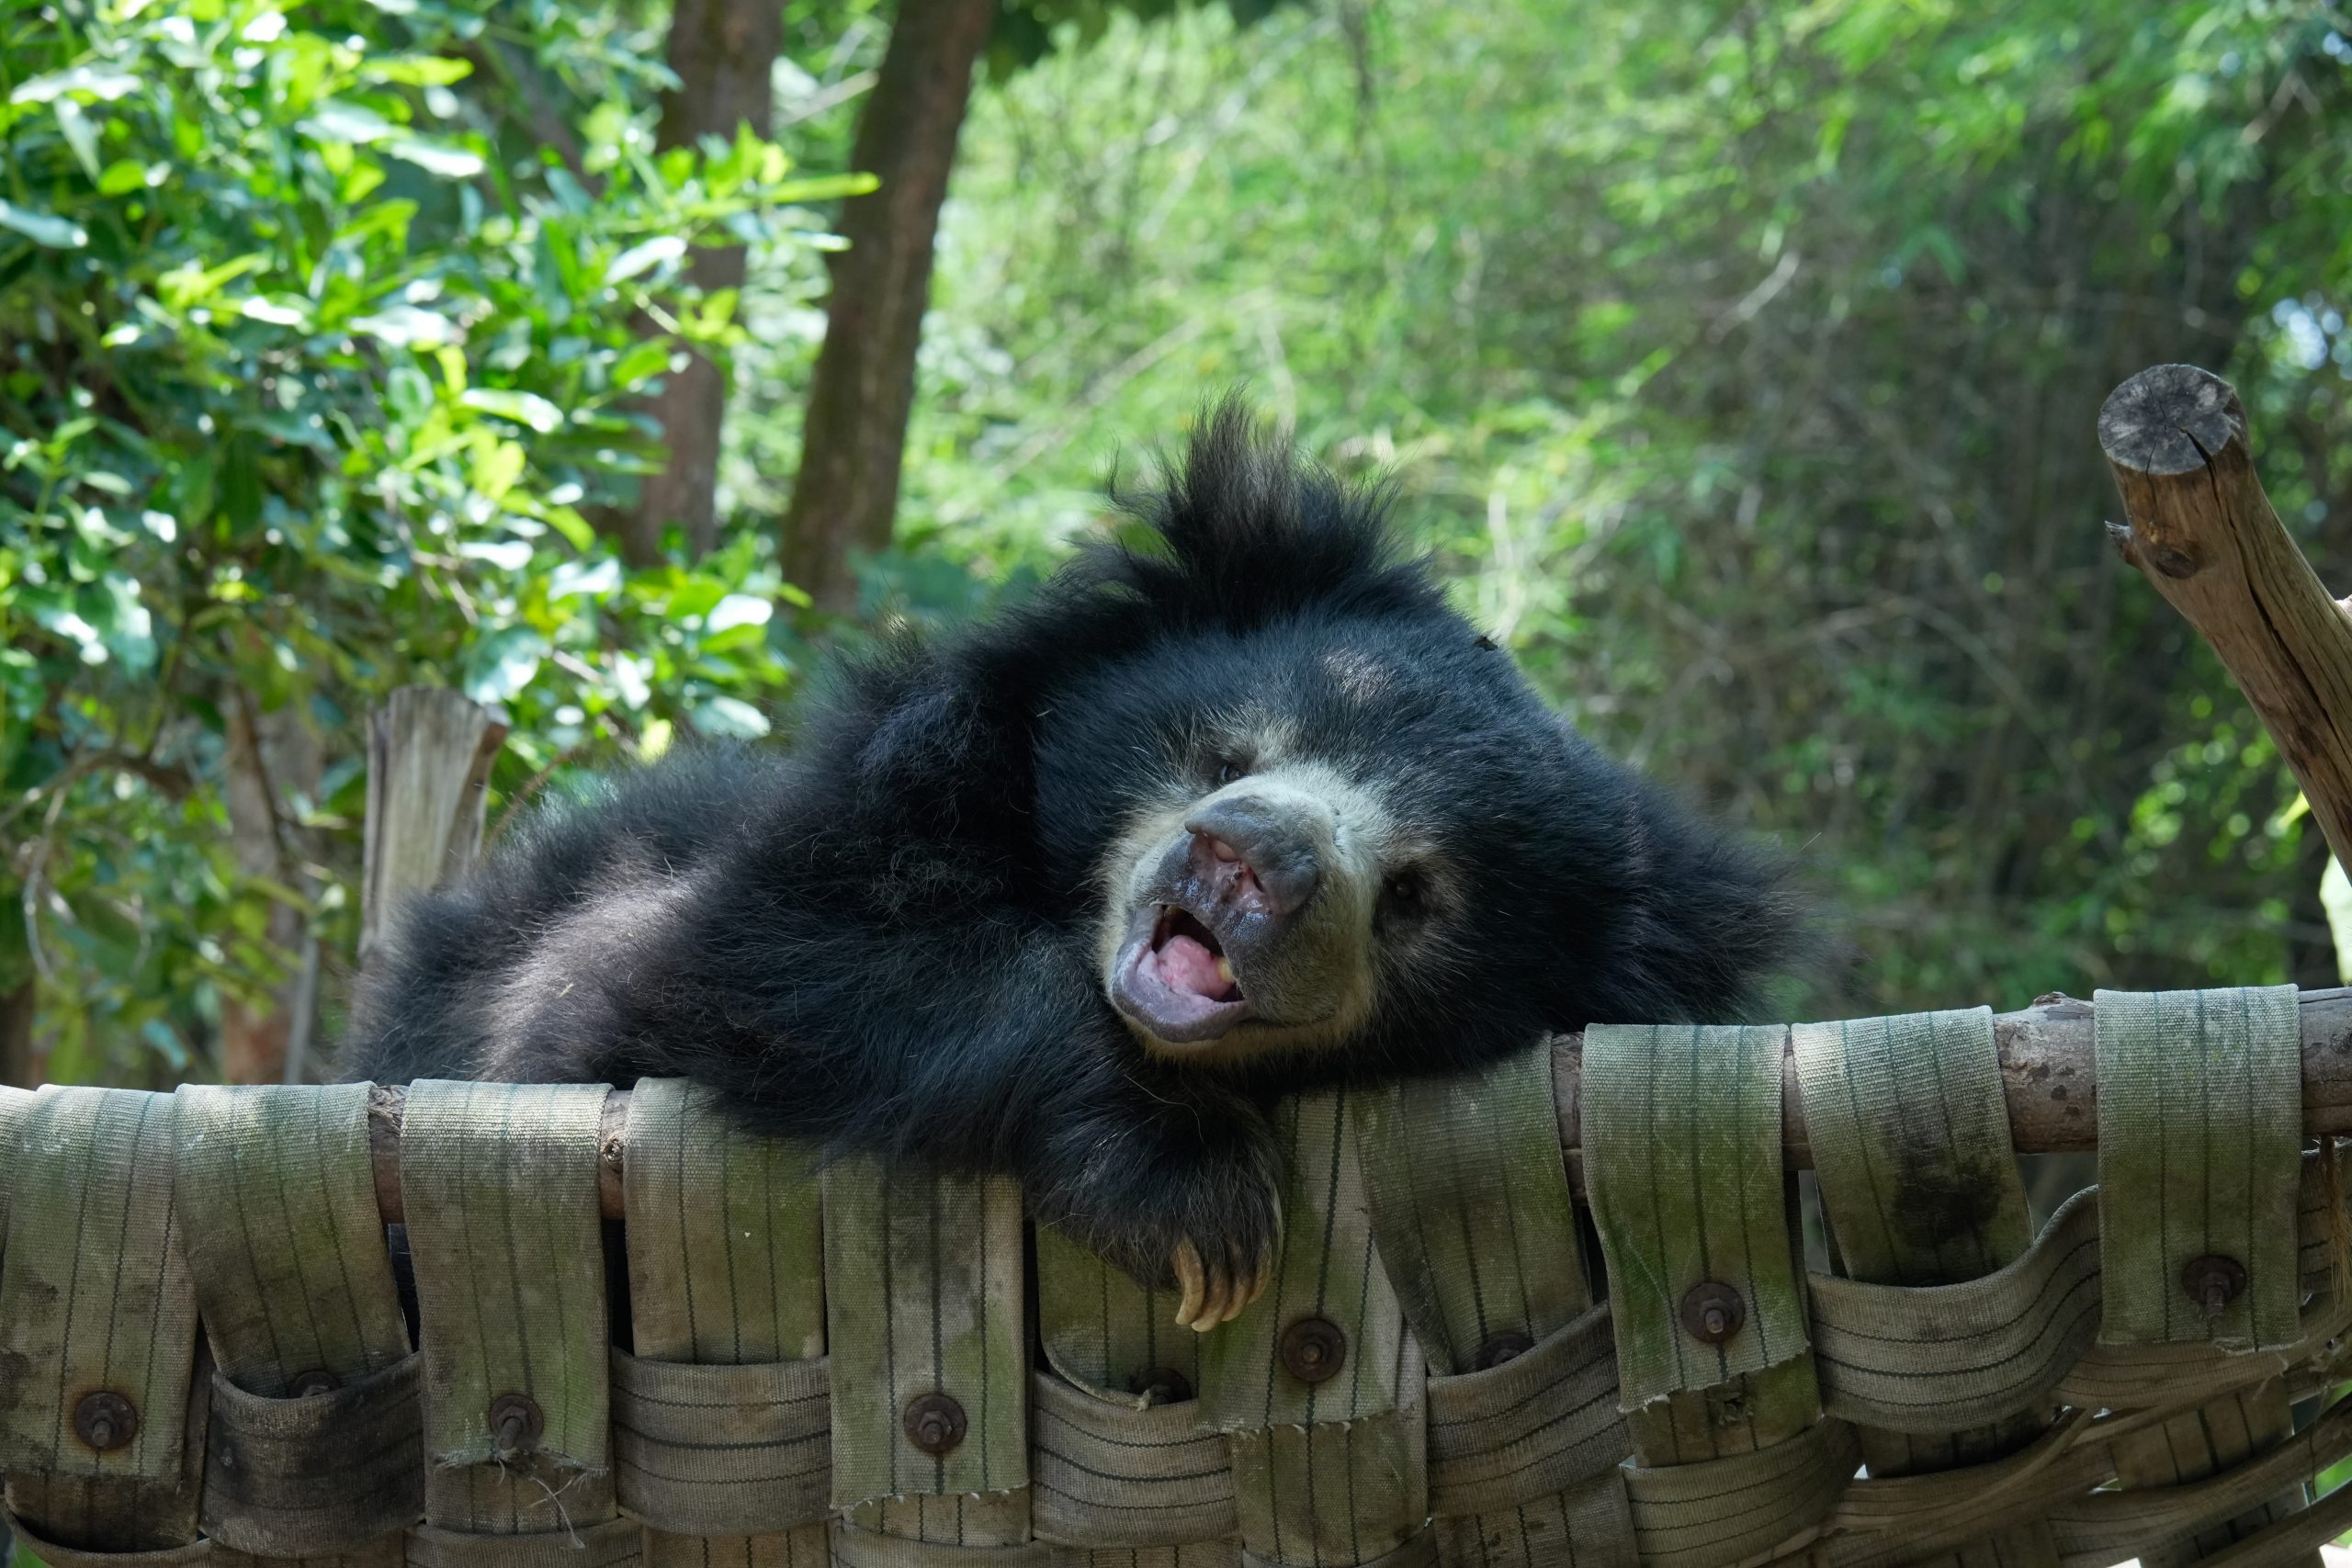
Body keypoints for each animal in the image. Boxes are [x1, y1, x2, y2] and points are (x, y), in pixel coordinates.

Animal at [341, 403, 1799, 1329]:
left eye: (1414, 896)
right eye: (1231, 750)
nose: (1248, 863)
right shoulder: (804, 851)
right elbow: (759, 958)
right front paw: (1196, 1201)